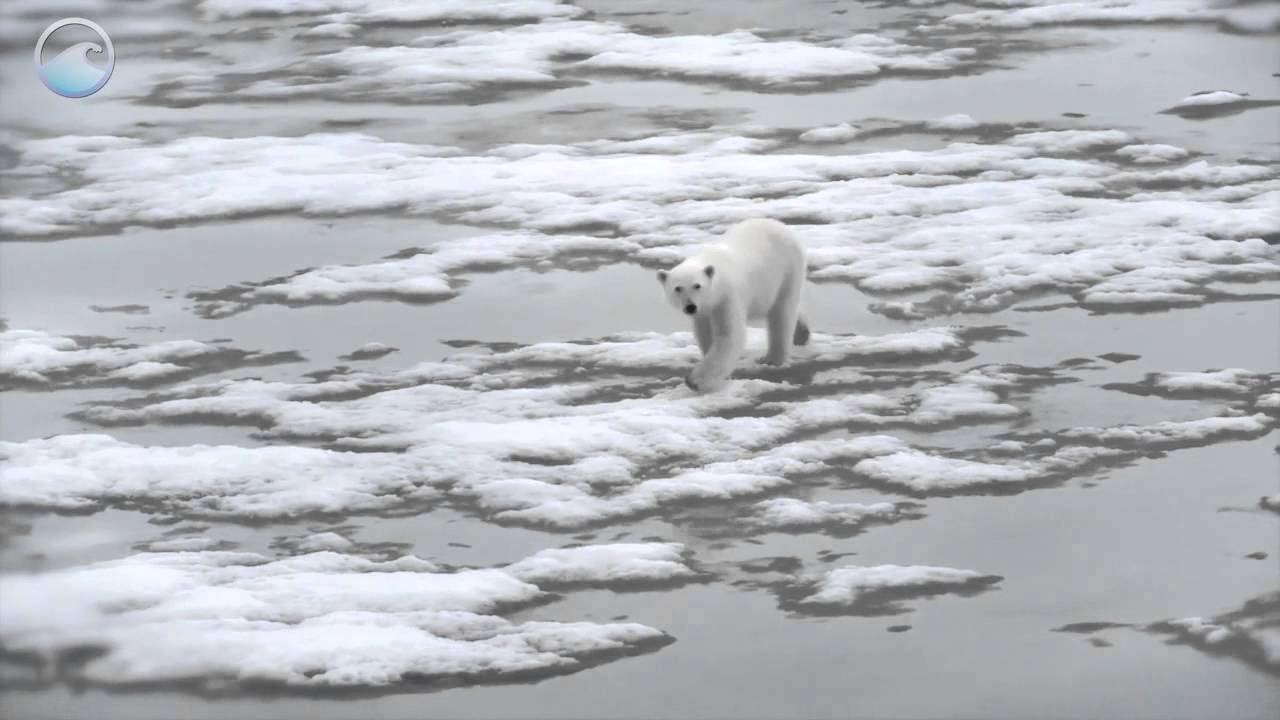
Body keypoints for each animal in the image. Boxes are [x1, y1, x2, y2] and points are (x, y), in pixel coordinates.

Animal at [657, 218, 810, 392]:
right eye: (677, 288)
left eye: (697, 285)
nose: (691, 307)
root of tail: (780, 225)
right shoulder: (705, 311)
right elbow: (705, 334)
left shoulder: (727, 297)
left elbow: (730, 336)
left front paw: (694, 381)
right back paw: (802, 333)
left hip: (787, 270)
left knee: (782, 312)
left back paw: (773, 358)